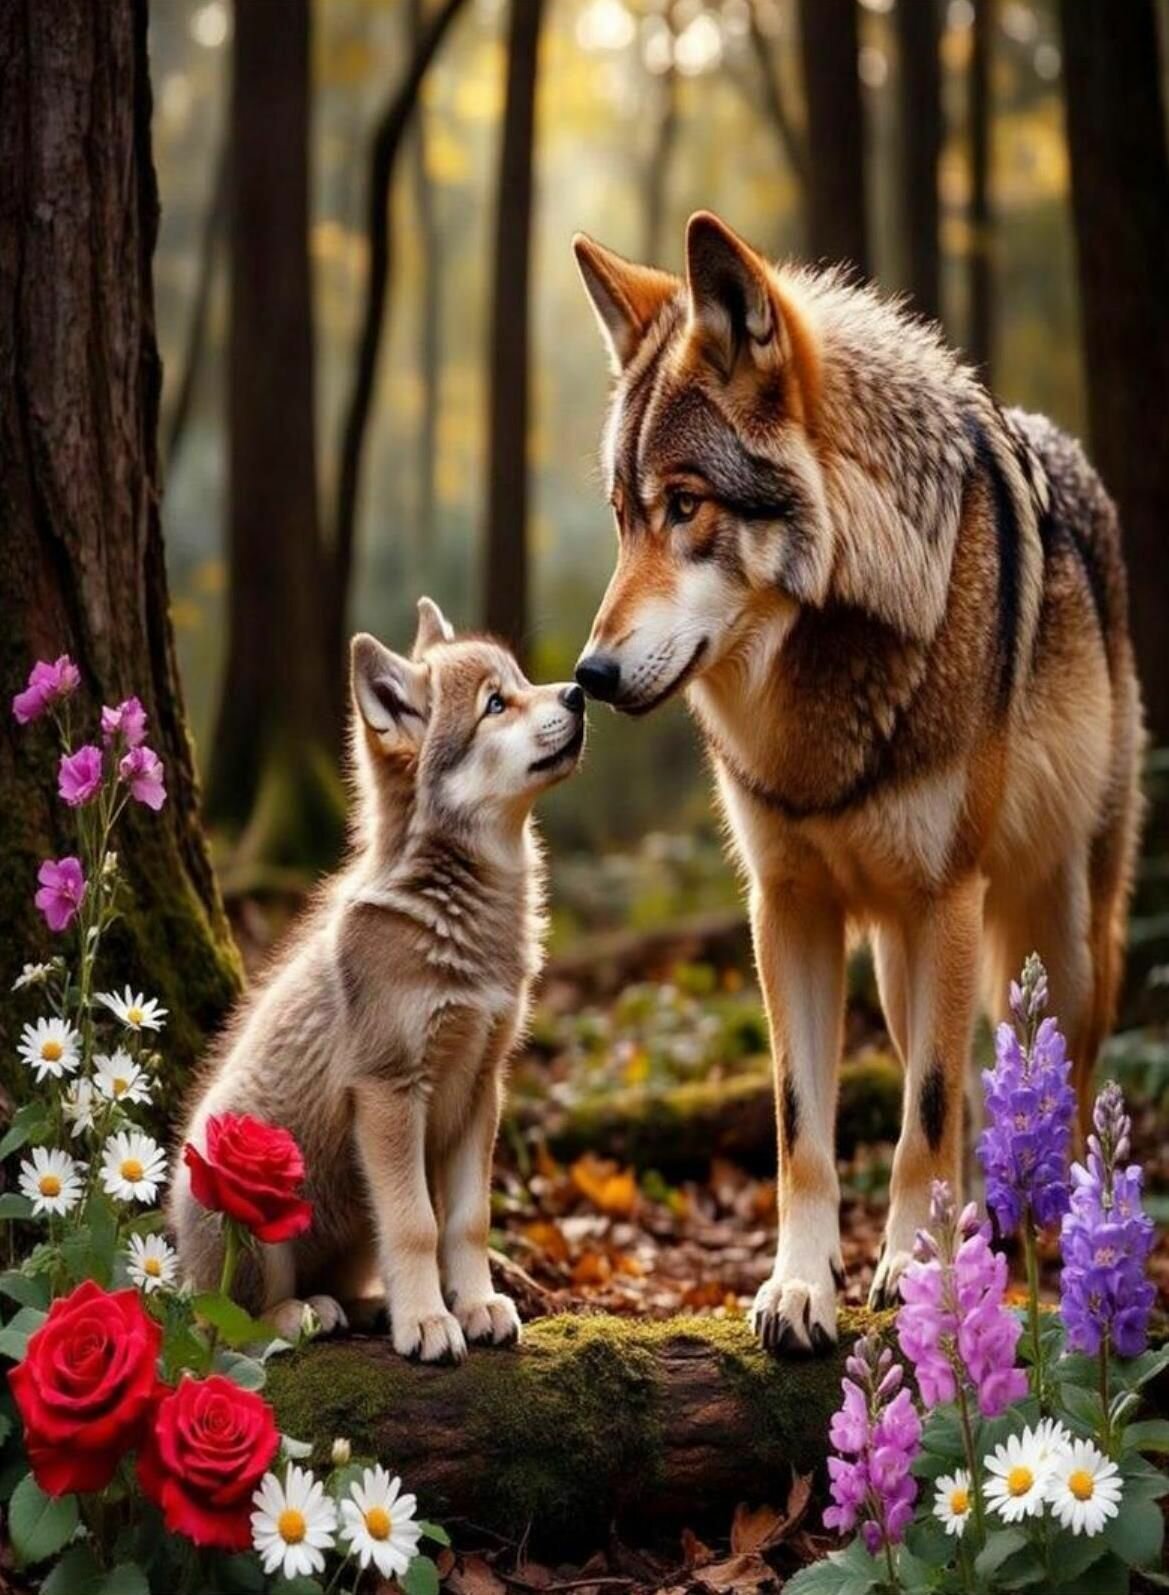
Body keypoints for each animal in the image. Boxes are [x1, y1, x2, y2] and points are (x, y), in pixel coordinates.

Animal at [171, 599, 586, 1362]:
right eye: (495, 703)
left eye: (522, 682)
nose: (577, 691)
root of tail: (177, 1271)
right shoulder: (391, 1091)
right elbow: (418, 1224)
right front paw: (427, 1322)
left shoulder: (481, 1086)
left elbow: (467, 1220)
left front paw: (475, 1305)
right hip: (256, 1219)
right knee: (228, 1322)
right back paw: (301, 1313)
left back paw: (367, 1304)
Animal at [571, 211, 1144, 1355]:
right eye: (622, 516)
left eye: (684, 505)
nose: (588, 676)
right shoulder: (785, 905)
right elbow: (804, 1125)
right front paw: (802, 1285)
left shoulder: (948, 896)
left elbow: (920, 1110)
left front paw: (920, 1267)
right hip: (893, 957)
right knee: (964, 1088)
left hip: (1059, 944)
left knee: (1049, 1089)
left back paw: (1061, 1250)